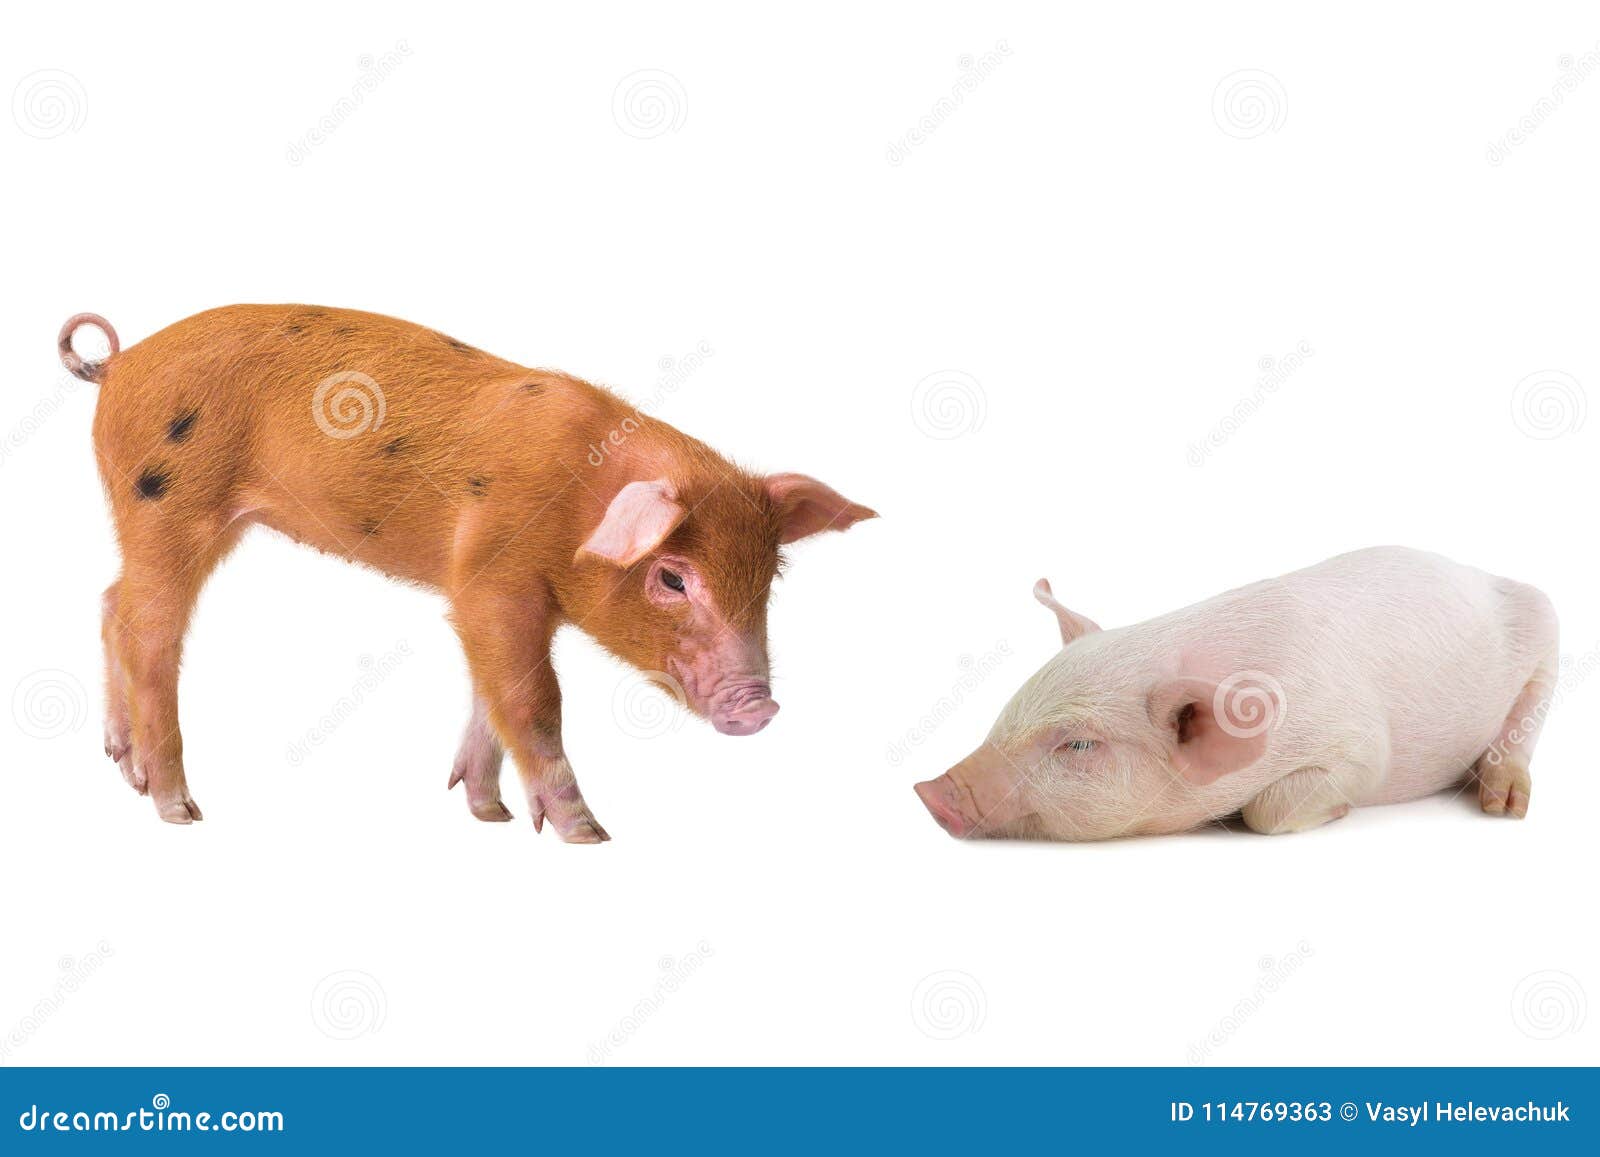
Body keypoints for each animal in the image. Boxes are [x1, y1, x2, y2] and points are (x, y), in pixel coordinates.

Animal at [63, 306, 875, 839]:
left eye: (769, 577)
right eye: (672, 578)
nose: (760, 707)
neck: (578, 505)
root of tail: (119, 363)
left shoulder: (503, 600)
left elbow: (493, 692)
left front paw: (489, 813)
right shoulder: (492, 581)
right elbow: (536, 700)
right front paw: (587, 835)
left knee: (110, 605)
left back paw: (122, 763)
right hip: (169, 504)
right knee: (151, 638)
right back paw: (179, 809)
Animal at [915, 547, 1558, 840]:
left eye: (1078, 745)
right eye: (1007, 711)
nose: (929, 791)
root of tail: (1485, 576)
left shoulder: (1362, 747)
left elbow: (1265, 810)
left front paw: (1338, 812)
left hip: (1546, 630)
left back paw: (1504, 806)